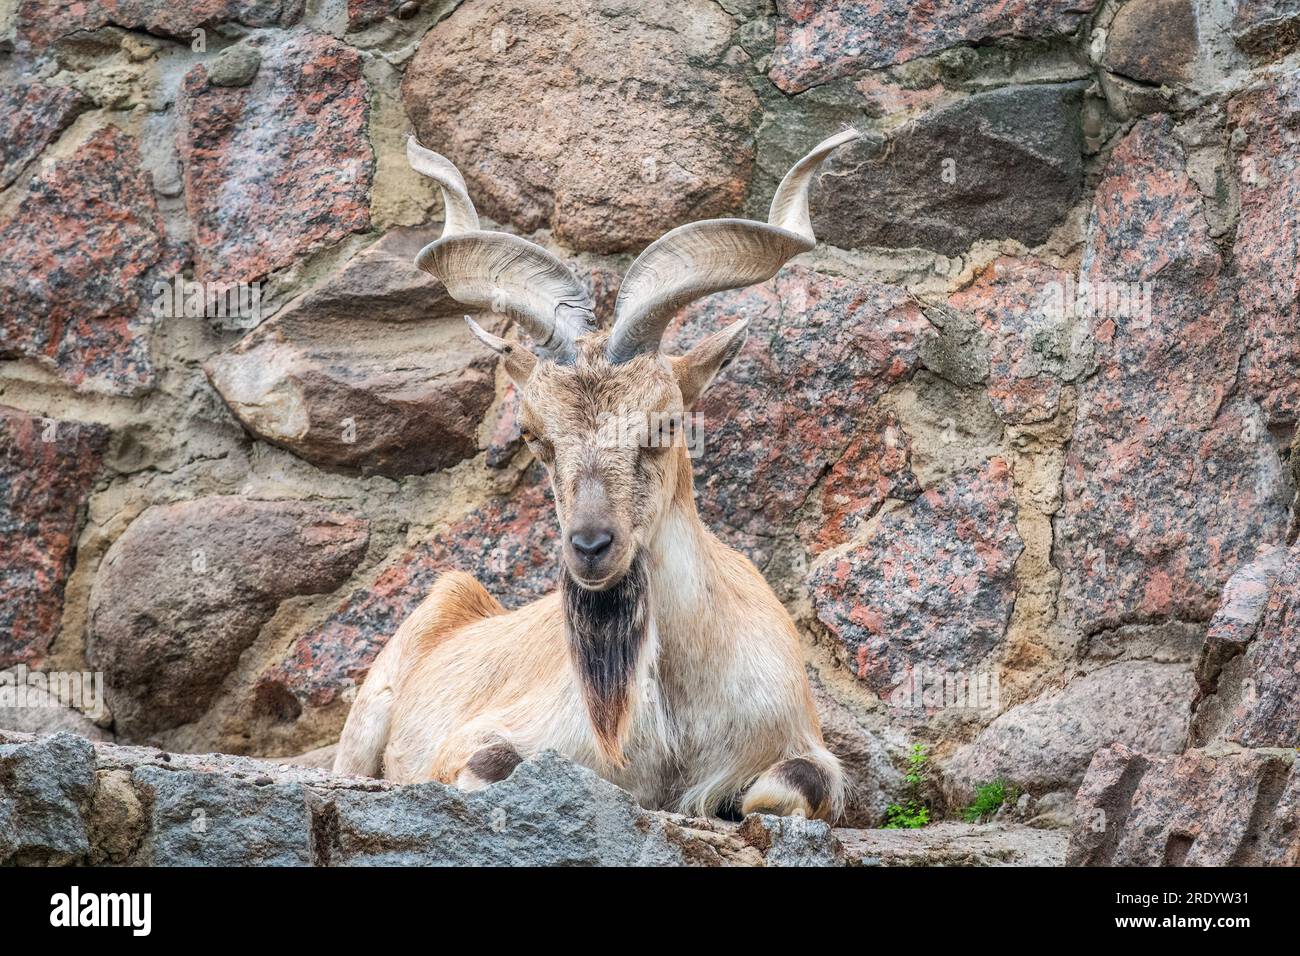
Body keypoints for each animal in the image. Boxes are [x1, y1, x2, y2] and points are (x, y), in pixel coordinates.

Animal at [333, 130, 861, 820]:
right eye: (534, 435)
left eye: (666, 424)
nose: (590, 547)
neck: (675, 710)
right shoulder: (478, 740)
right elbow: (487, 767)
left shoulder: (801, 742)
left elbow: (793, 785)